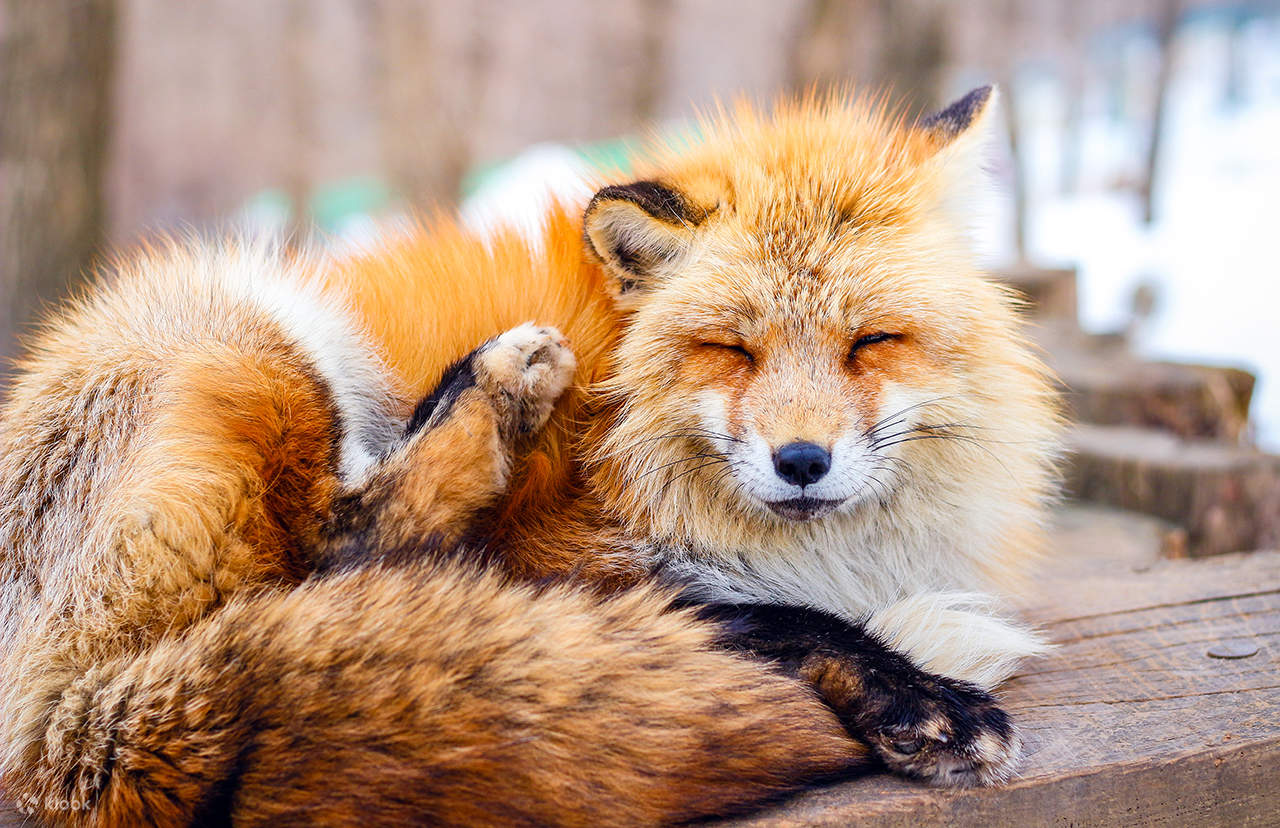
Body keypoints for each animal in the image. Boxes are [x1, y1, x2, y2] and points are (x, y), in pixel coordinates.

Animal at [0, 86, 1056, 825]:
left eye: (872, 343)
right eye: (731, 349)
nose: (802, 459)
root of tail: (52, 743)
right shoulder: (557, 558)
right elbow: (787, 620)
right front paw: (919, 694)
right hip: (251, 326)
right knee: (340, 549)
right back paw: (494, 391)